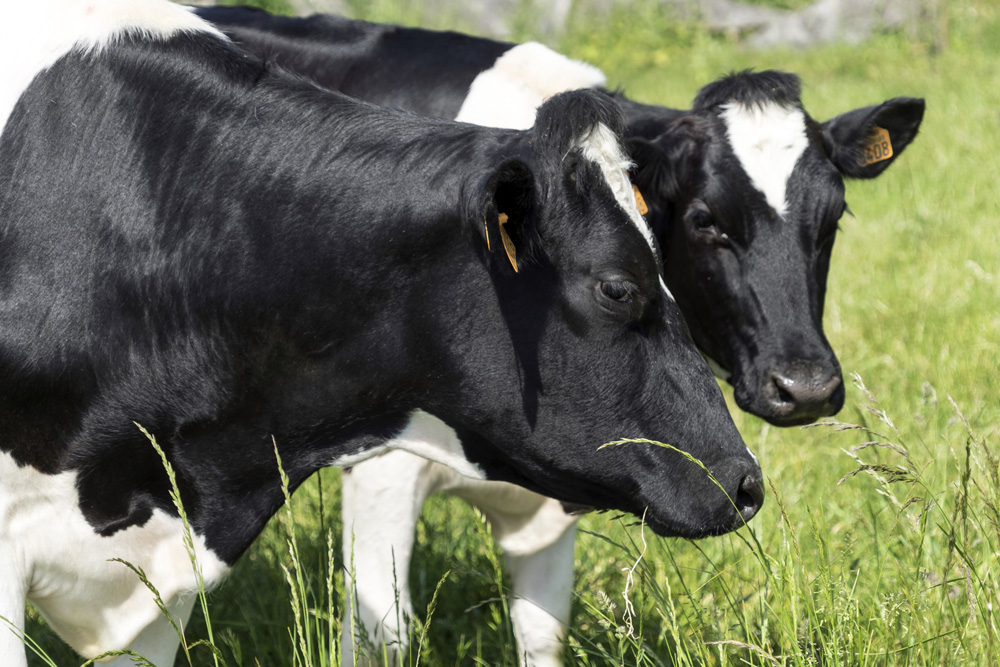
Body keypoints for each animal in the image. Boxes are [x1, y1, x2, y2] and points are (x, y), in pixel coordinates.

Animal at [194, 7, 924, 667]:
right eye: (705, 220)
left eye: (832, 218)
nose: (806, 387)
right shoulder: (380, 468)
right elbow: (383, 636)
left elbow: (543, 633)